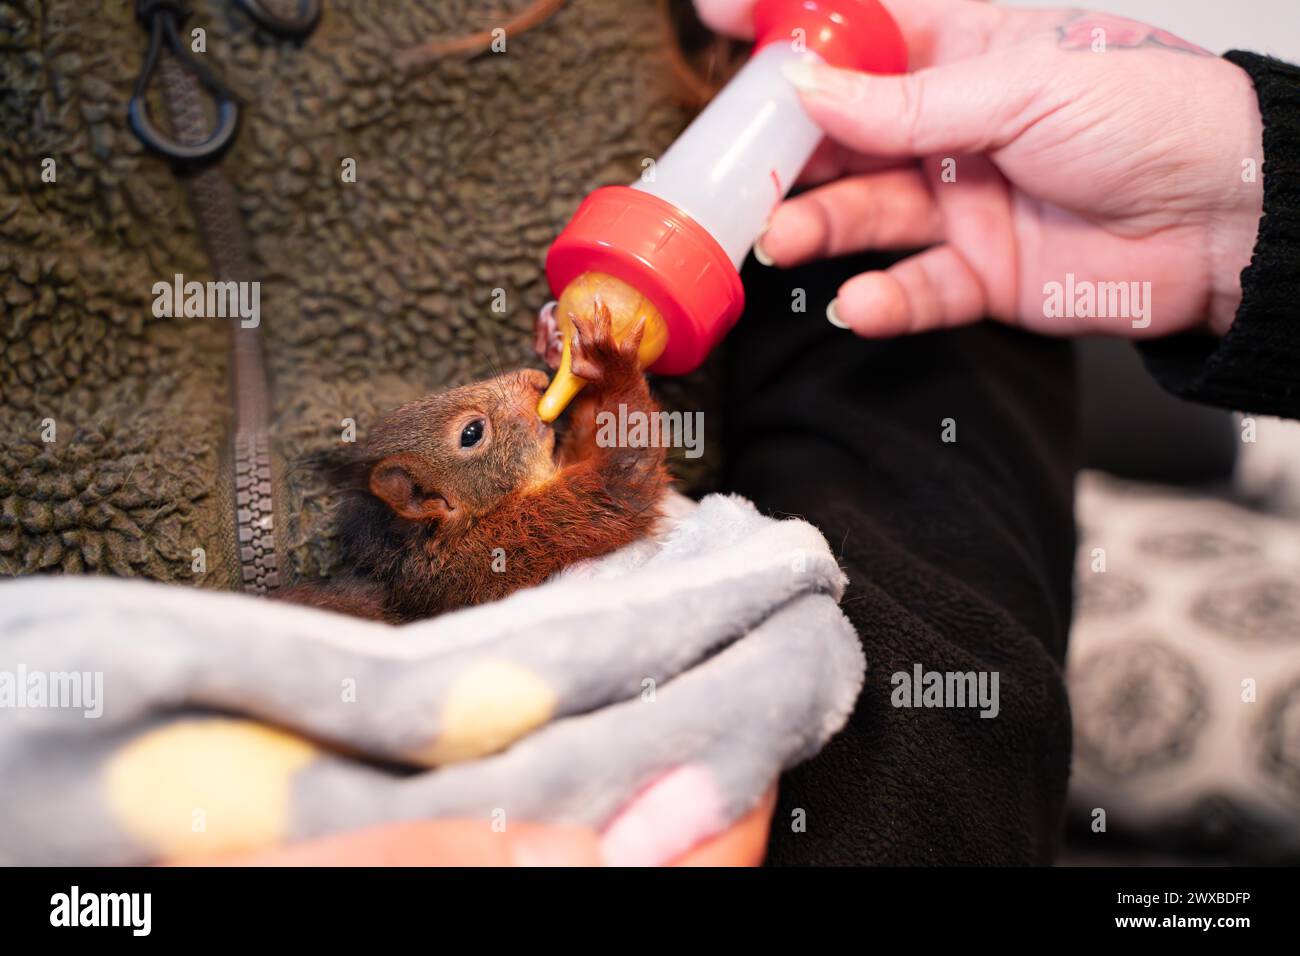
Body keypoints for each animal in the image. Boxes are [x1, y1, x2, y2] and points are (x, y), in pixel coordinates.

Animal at [275, 303, 669, 623]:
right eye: (471, 433)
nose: (537, 380)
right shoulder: (517, 539)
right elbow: (621, 482)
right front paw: (612, 363)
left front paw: (557, 343)